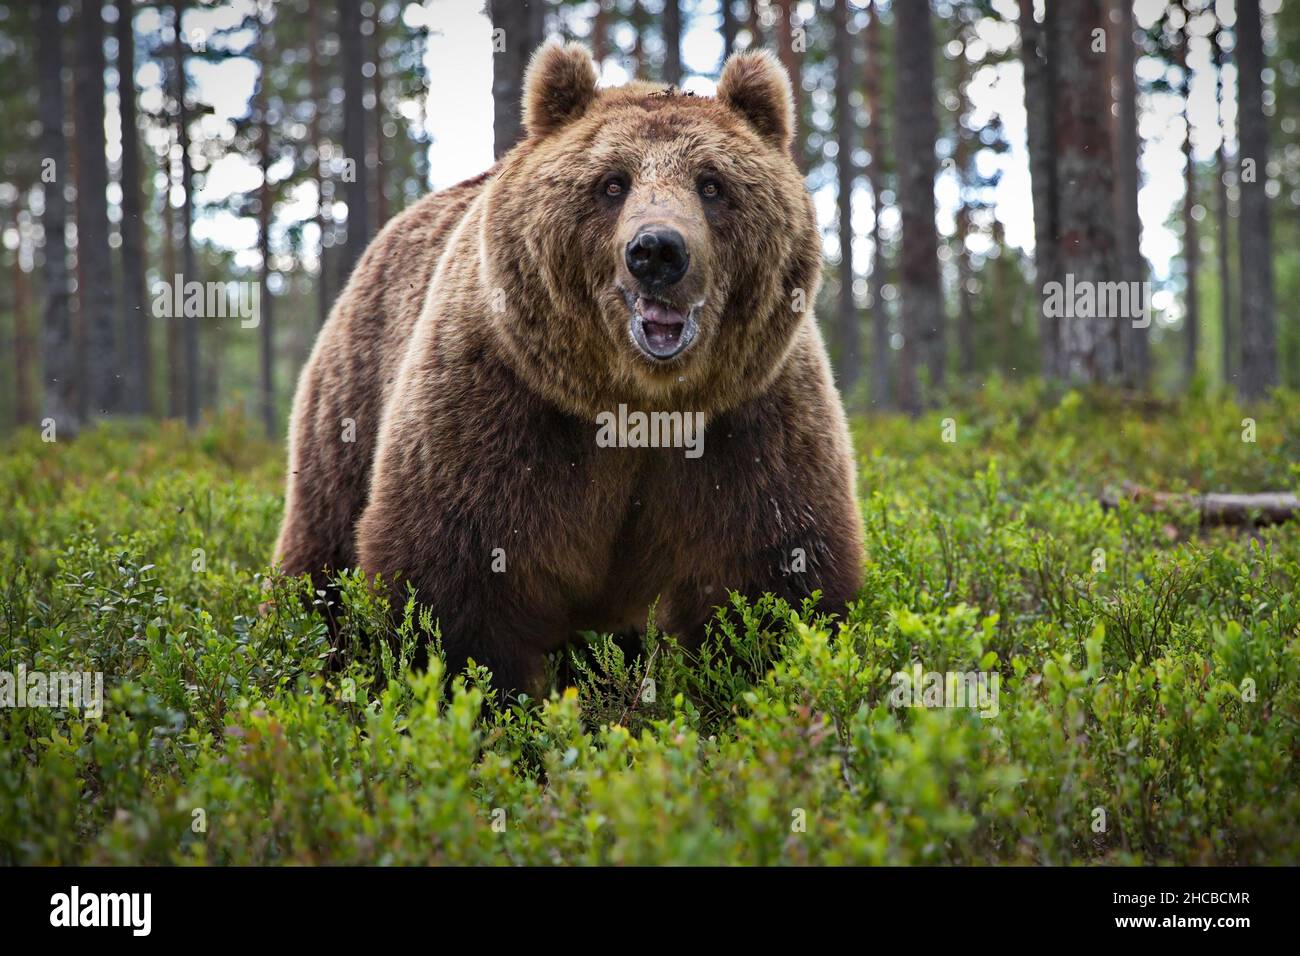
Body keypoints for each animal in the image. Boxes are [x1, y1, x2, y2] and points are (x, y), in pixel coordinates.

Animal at [274, 42, 865, 697]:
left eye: (712, 183)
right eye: (612, 183)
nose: (657, 251)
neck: (638, 402)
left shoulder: (751, 420)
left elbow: (772, 572)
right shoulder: (501, 405)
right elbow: (457, 579)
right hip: (353, 393)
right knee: (323, 549)